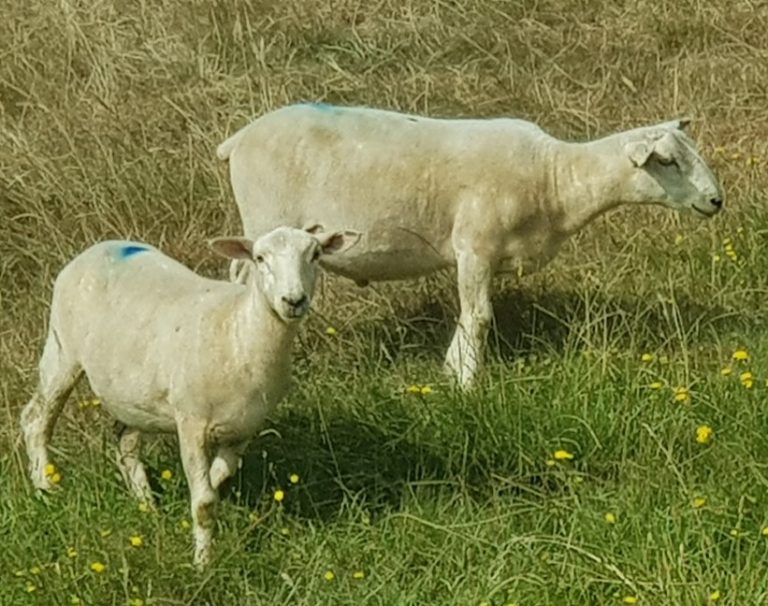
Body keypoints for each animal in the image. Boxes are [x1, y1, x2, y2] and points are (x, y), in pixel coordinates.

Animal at [20, 226, 360, 568]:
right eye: (260, 258)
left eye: (315, 255)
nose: (294, 300)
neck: (238, 332)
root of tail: (99, 247)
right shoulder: (191, 422)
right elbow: (205, 502)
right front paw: (202, 564)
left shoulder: (242, 431)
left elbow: (215, 481)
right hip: (62, 350)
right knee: (36, 420)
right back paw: (46, 489)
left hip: (132, 393)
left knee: (125, 442)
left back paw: (147, 506)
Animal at [217, 104, 724, 387]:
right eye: (667, 161)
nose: (717, 200)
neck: (553, 177)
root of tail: (238, 138)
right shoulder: (474, 245)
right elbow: (479, 316)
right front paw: (466, 381)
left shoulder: (487, 255)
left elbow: (470, 317)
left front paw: (452, 368)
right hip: (266, 218)